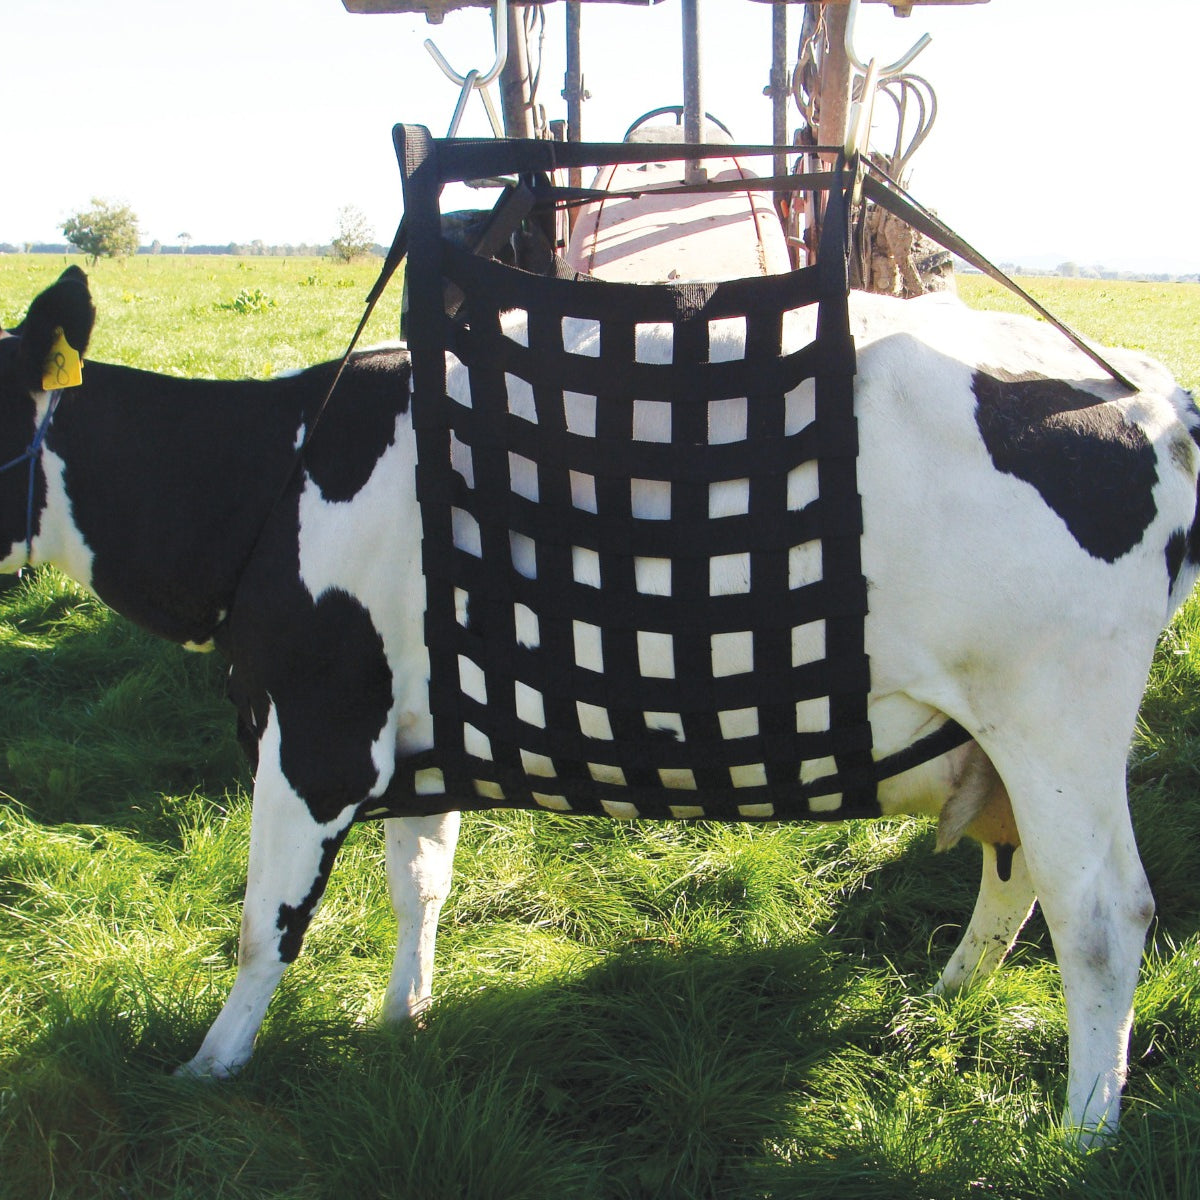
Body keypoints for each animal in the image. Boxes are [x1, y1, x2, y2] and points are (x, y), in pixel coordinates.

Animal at [2, 265, 1198, 1142]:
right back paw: (938, 1007)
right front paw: (402, 1021)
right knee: (1017, 877)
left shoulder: (316, 726)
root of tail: (1137, 381)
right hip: (1000, 742)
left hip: (1054, 719)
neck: (282, 466)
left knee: (1102, 915)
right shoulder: (416, 735)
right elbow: (419, 886)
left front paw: (207, 1070)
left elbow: (265, 926)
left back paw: (1084, 1133)